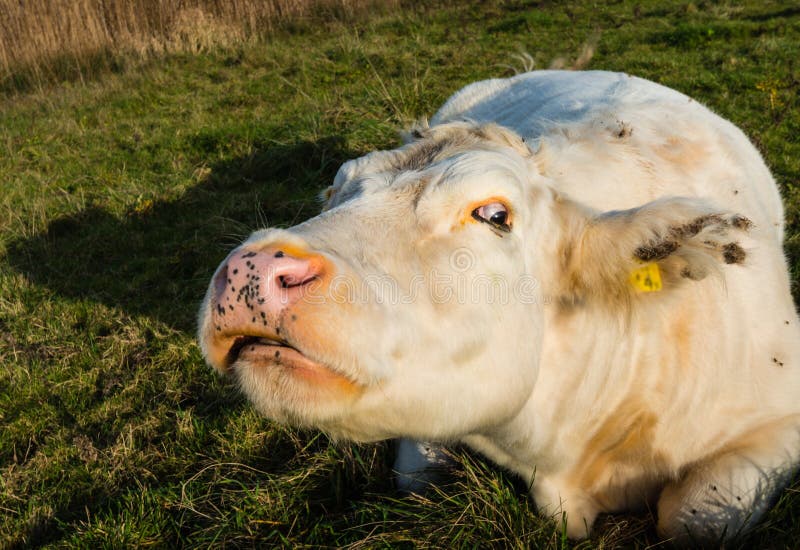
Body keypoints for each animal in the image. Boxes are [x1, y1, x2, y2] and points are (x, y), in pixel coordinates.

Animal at [197, 70, 800, 543]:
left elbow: (694, 520)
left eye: (493, 214)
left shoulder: (777, 424)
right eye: (331, 193)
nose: (252, 269)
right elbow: (420, 476)